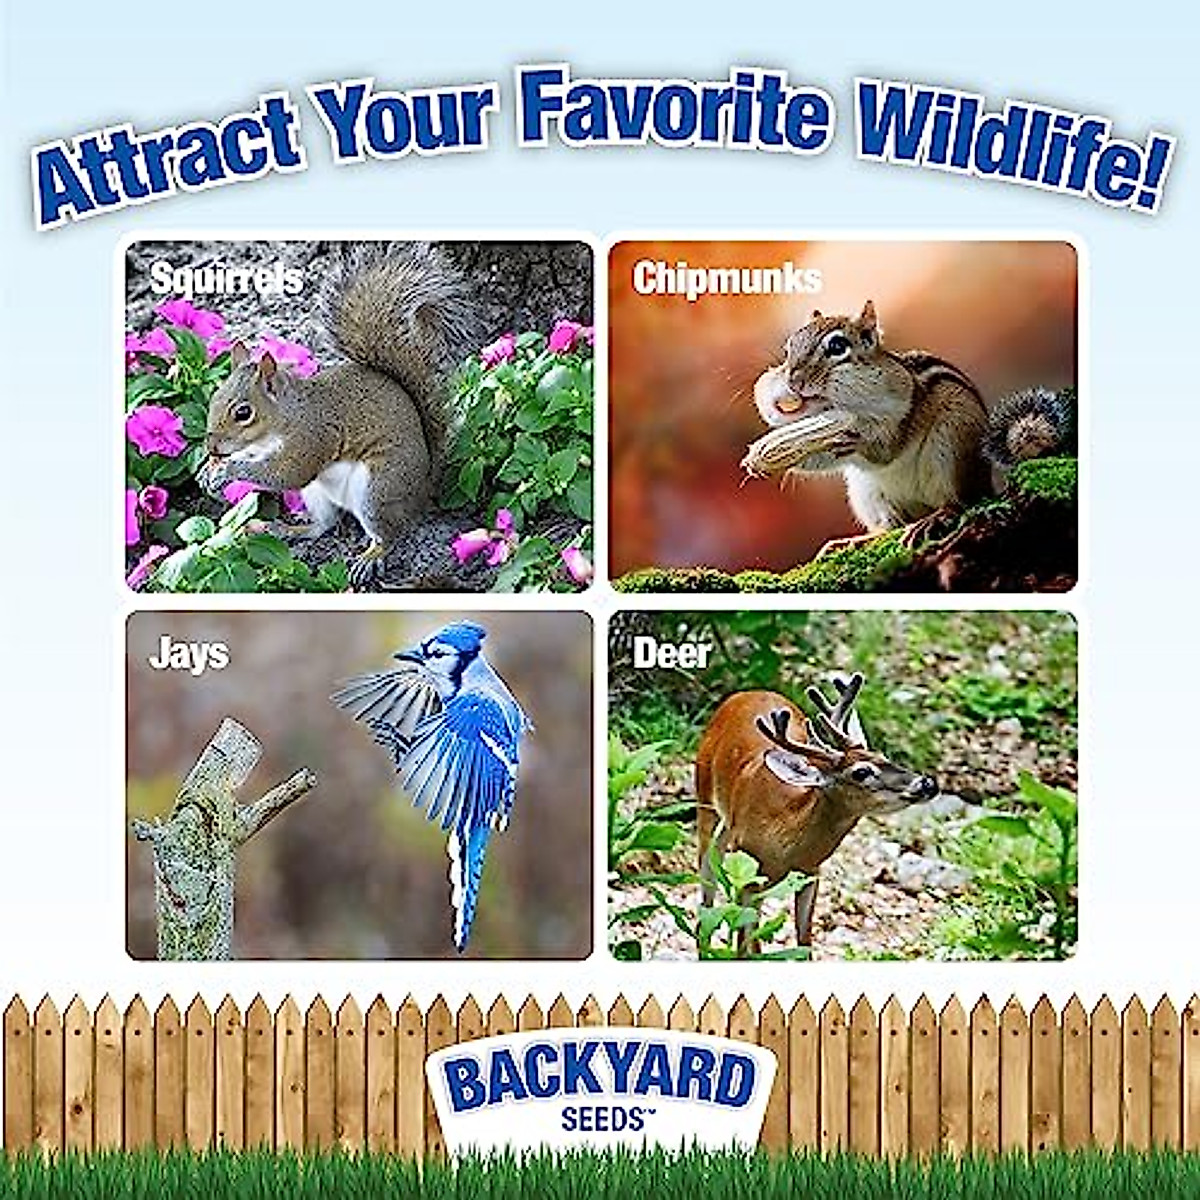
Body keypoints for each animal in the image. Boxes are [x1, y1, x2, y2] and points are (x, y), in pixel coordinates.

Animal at [201, 242, 481, 587]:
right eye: (214, 398)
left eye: (243, 413)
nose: (211, 446)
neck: (281, 422)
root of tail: (424, 488)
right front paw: (209, 471)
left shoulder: (311, 439)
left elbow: (285, 474)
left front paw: (228, 469)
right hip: (316, 494)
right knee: (325, 524)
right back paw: (290, 528)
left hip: (378, 491)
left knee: (391, 533)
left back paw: (371, 556)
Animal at [752, 300, 1074, 535]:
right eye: (789, 347)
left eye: (837, 347)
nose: (793, 380)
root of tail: (985, 484)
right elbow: (819, 456)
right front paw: (760, 460)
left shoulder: (904, 411)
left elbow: (887, 449)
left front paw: (860, 441)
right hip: (866, 493)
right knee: (889, 525)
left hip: (949, 450)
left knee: (956, 503)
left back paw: (931, 519)